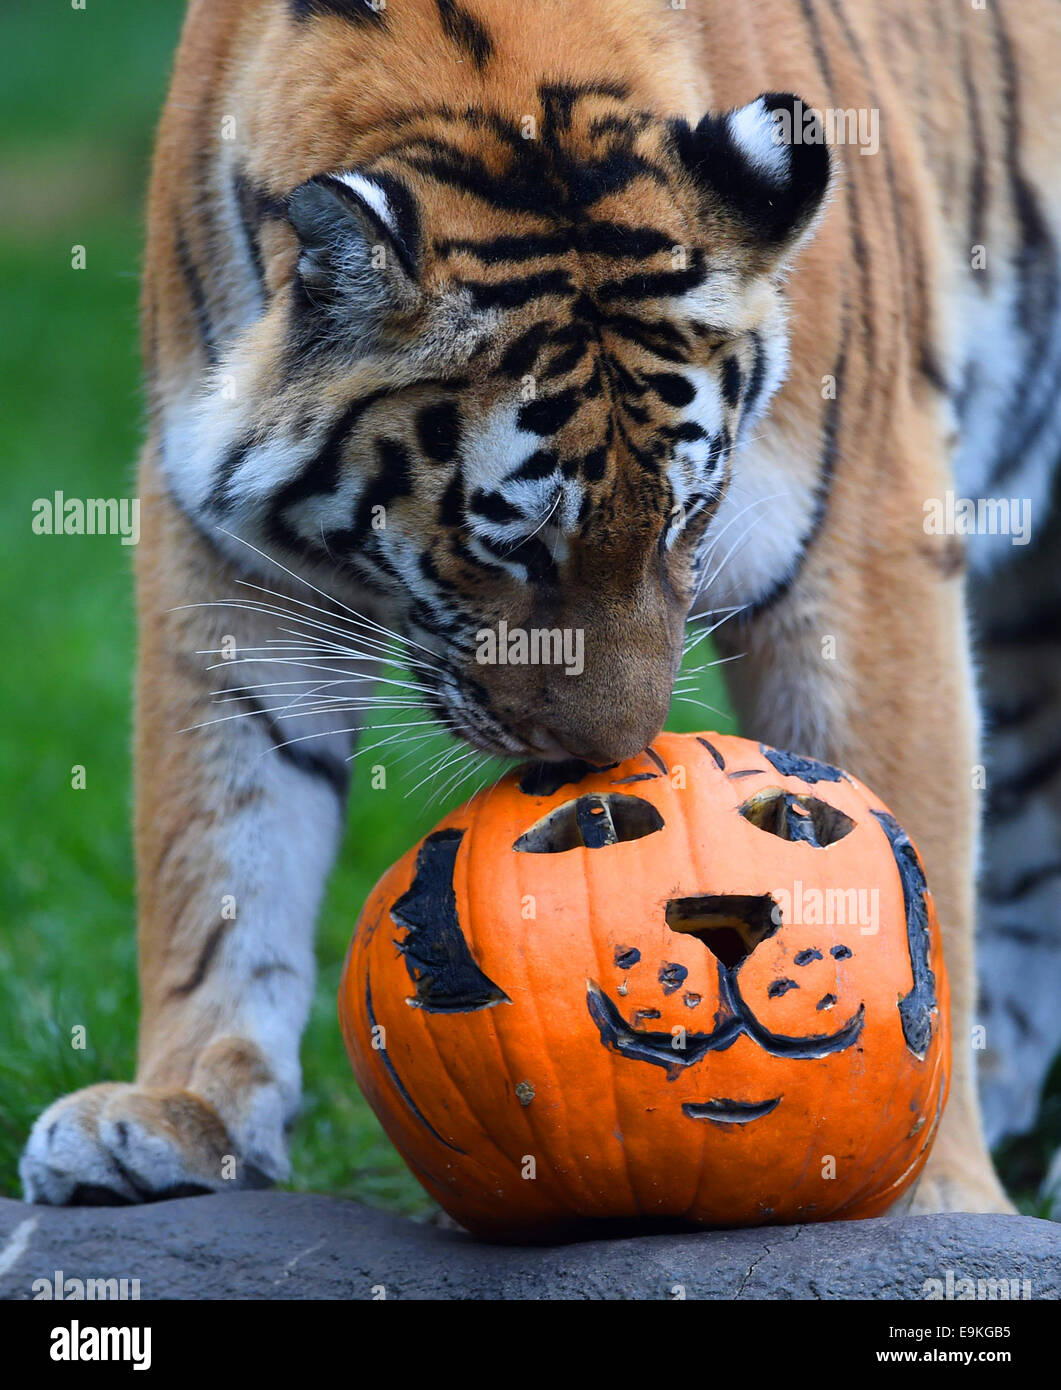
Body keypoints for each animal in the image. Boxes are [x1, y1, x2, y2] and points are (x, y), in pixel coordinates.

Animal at [20, 0, 1061, 1220]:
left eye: (685, 517)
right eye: (512, 546)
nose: (610, 760)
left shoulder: (861, 519)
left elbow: (911, 854)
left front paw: (935, 1192)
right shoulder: (217, 534)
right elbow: (220, 830)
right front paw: (180, 1108)